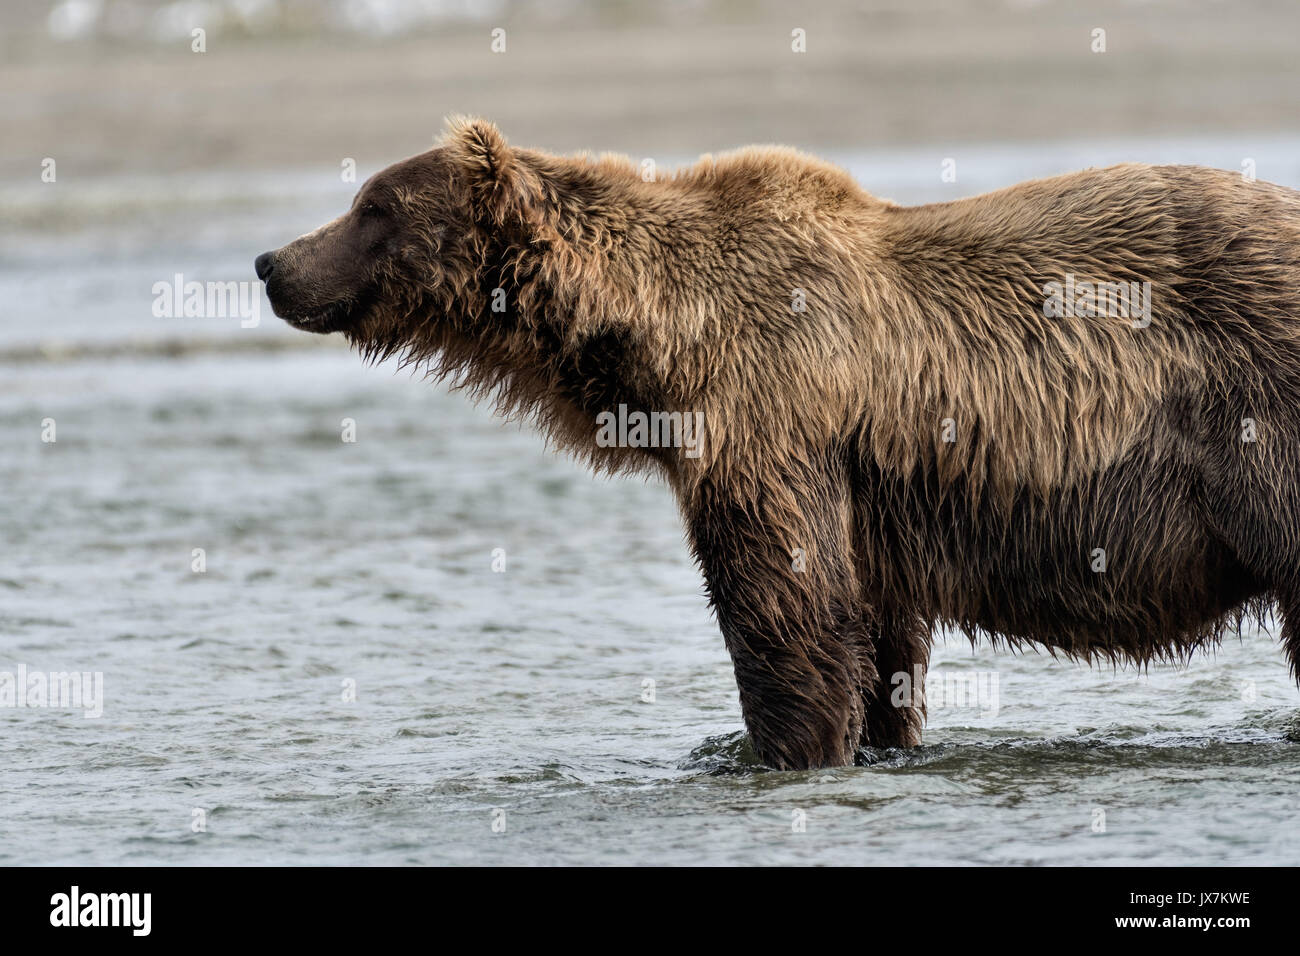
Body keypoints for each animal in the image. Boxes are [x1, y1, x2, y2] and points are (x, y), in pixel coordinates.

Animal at [256, 117, 1300, 770]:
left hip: (1263, 415)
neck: (654, 340)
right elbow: (875, 632)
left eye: (374, 206)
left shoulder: (769, 414)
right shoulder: (868, 494)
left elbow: (785, 607)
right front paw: (874, 737)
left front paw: (779, 751)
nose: (272, 262)